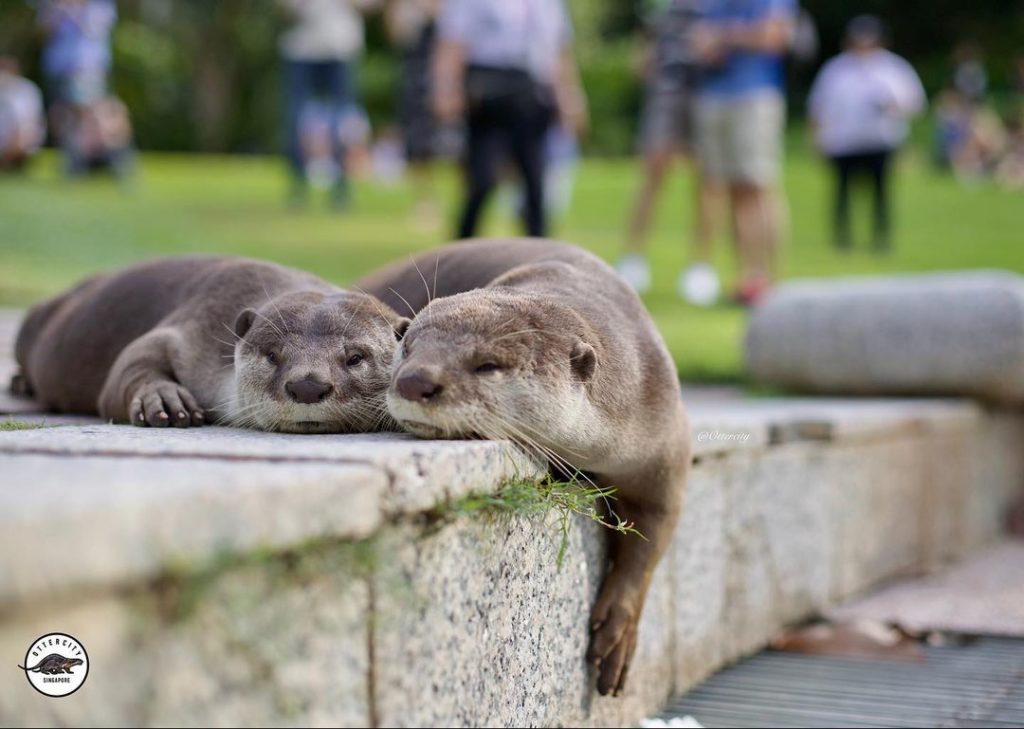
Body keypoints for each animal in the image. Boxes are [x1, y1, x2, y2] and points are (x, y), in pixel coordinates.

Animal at [13, 256, 409, 433]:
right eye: (272, 355)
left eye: (356, 357)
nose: (307, 386)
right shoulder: (191, 329)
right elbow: (129, 364)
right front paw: (164, 400)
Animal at [355, 239, 690, 696]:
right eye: (406, 346)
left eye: (487, 365)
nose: (413, 380)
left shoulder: (664, 440)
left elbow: (650, 538)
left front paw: (617, 633)